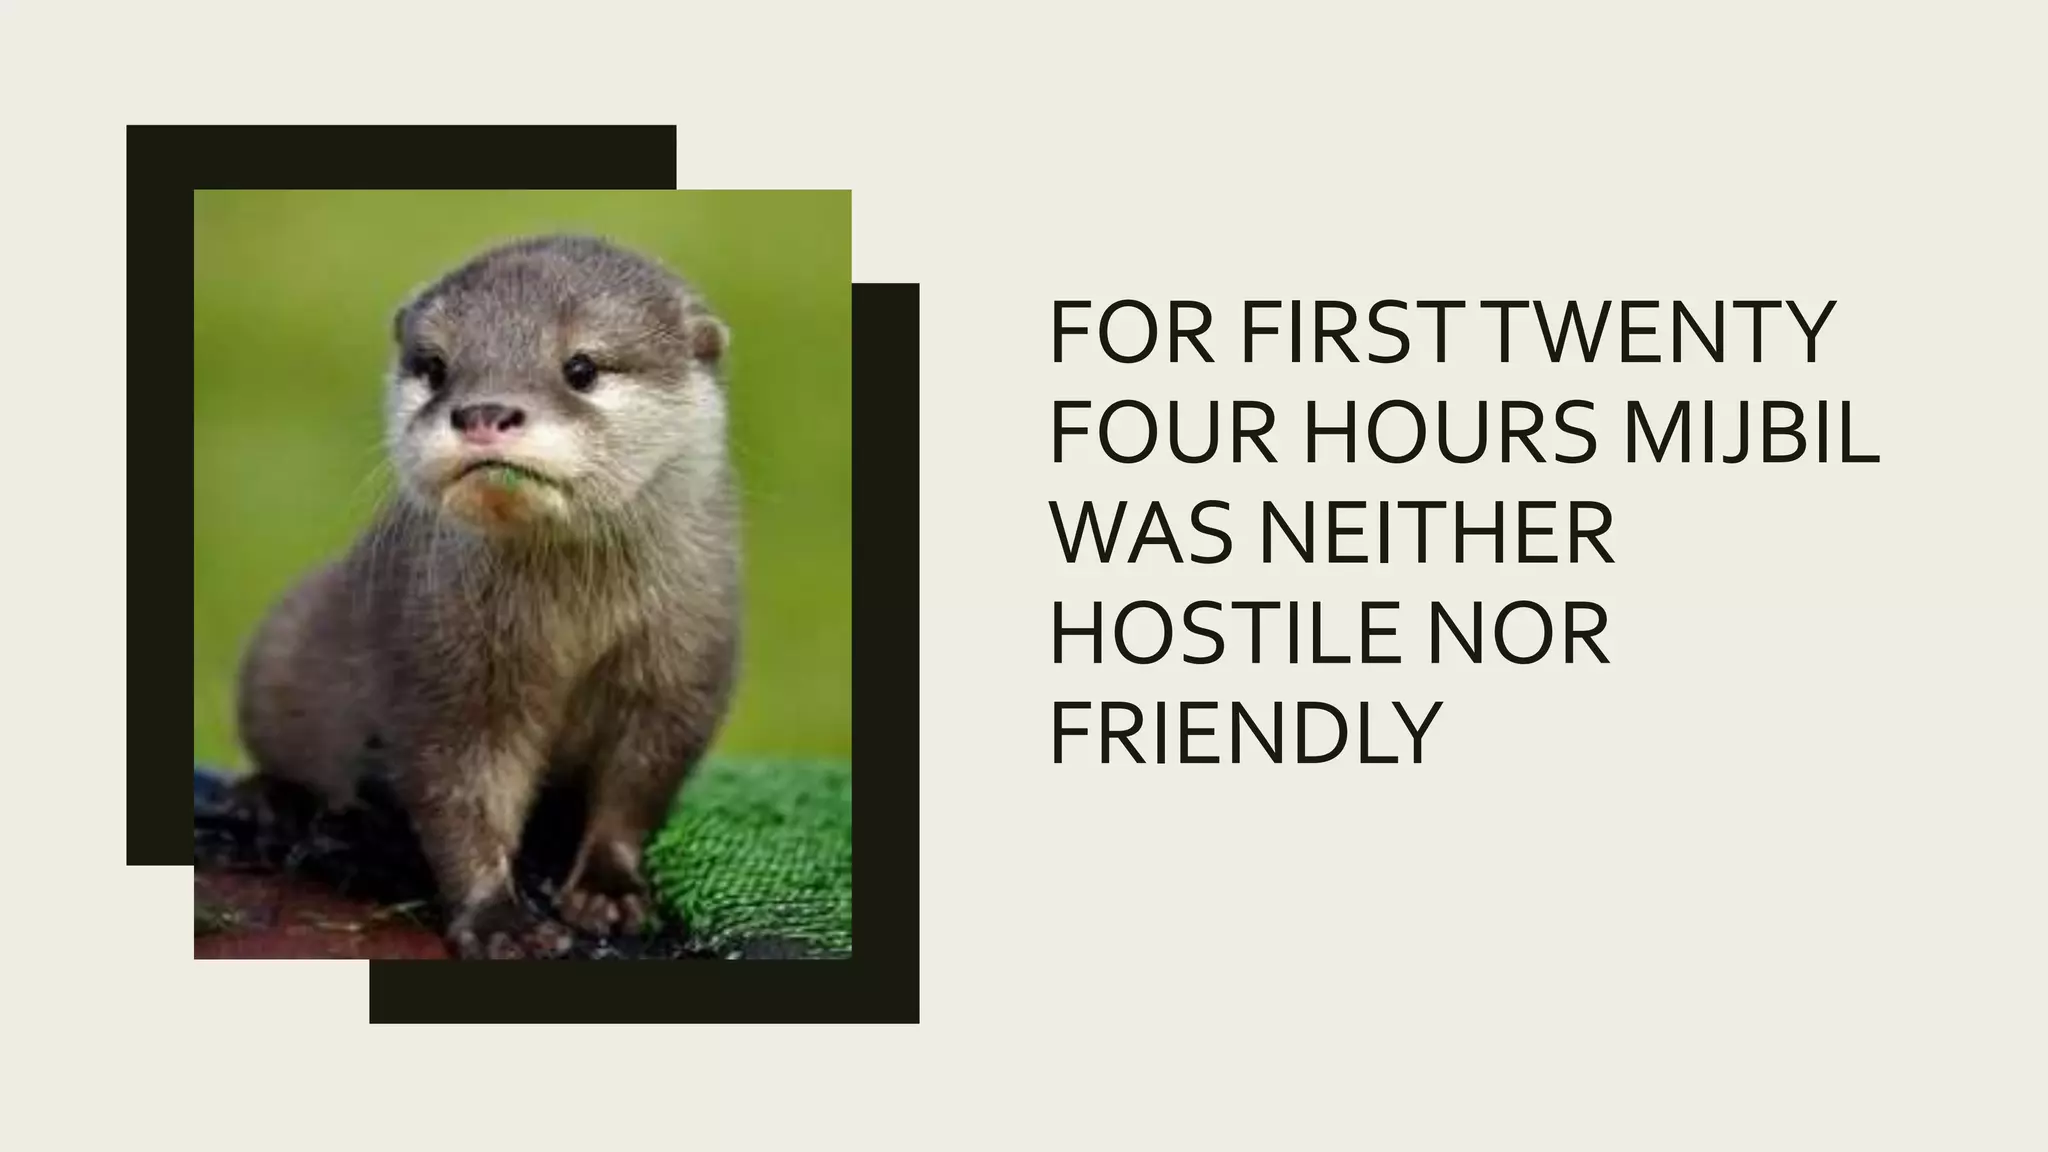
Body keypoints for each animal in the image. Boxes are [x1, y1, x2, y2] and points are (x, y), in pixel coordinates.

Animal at [235, 235, 740, 958]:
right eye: (436, 367)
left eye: (581, 366)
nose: (483, 413)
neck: (572, 632)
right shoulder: (443, 669)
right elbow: (461, 798)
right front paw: (499, 920)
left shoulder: (681, 672)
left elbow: (635, 790)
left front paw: (609, 891)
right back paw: (277, 804)